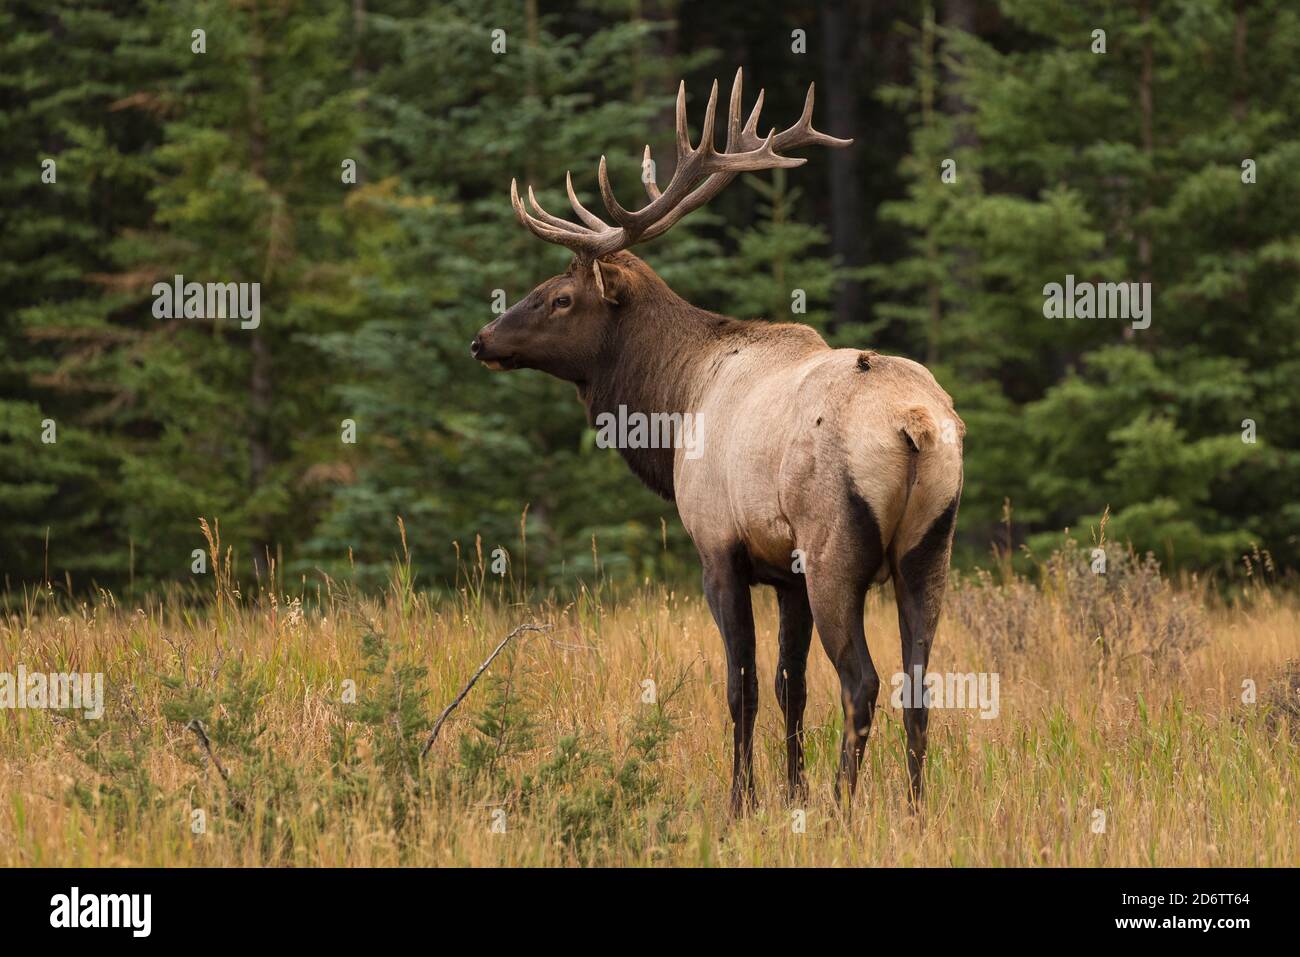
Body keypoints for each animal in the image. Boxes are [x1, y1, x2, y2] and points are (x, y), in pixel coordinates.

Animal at [471, 70, 964, 814]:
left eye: (560, 298)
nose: (483, 339)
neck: (674, 409)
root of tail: (917, 424)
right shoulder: (784, 572)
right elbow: (791, 687)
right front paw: (792, 794)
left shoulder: (718, 547)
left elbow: (743, 687)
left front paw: (744, 802)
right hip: (929, 548)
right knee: (919, 688)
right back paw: (914, 809)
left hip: (835, 549)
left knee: (864, 682)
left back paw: (845, 807)